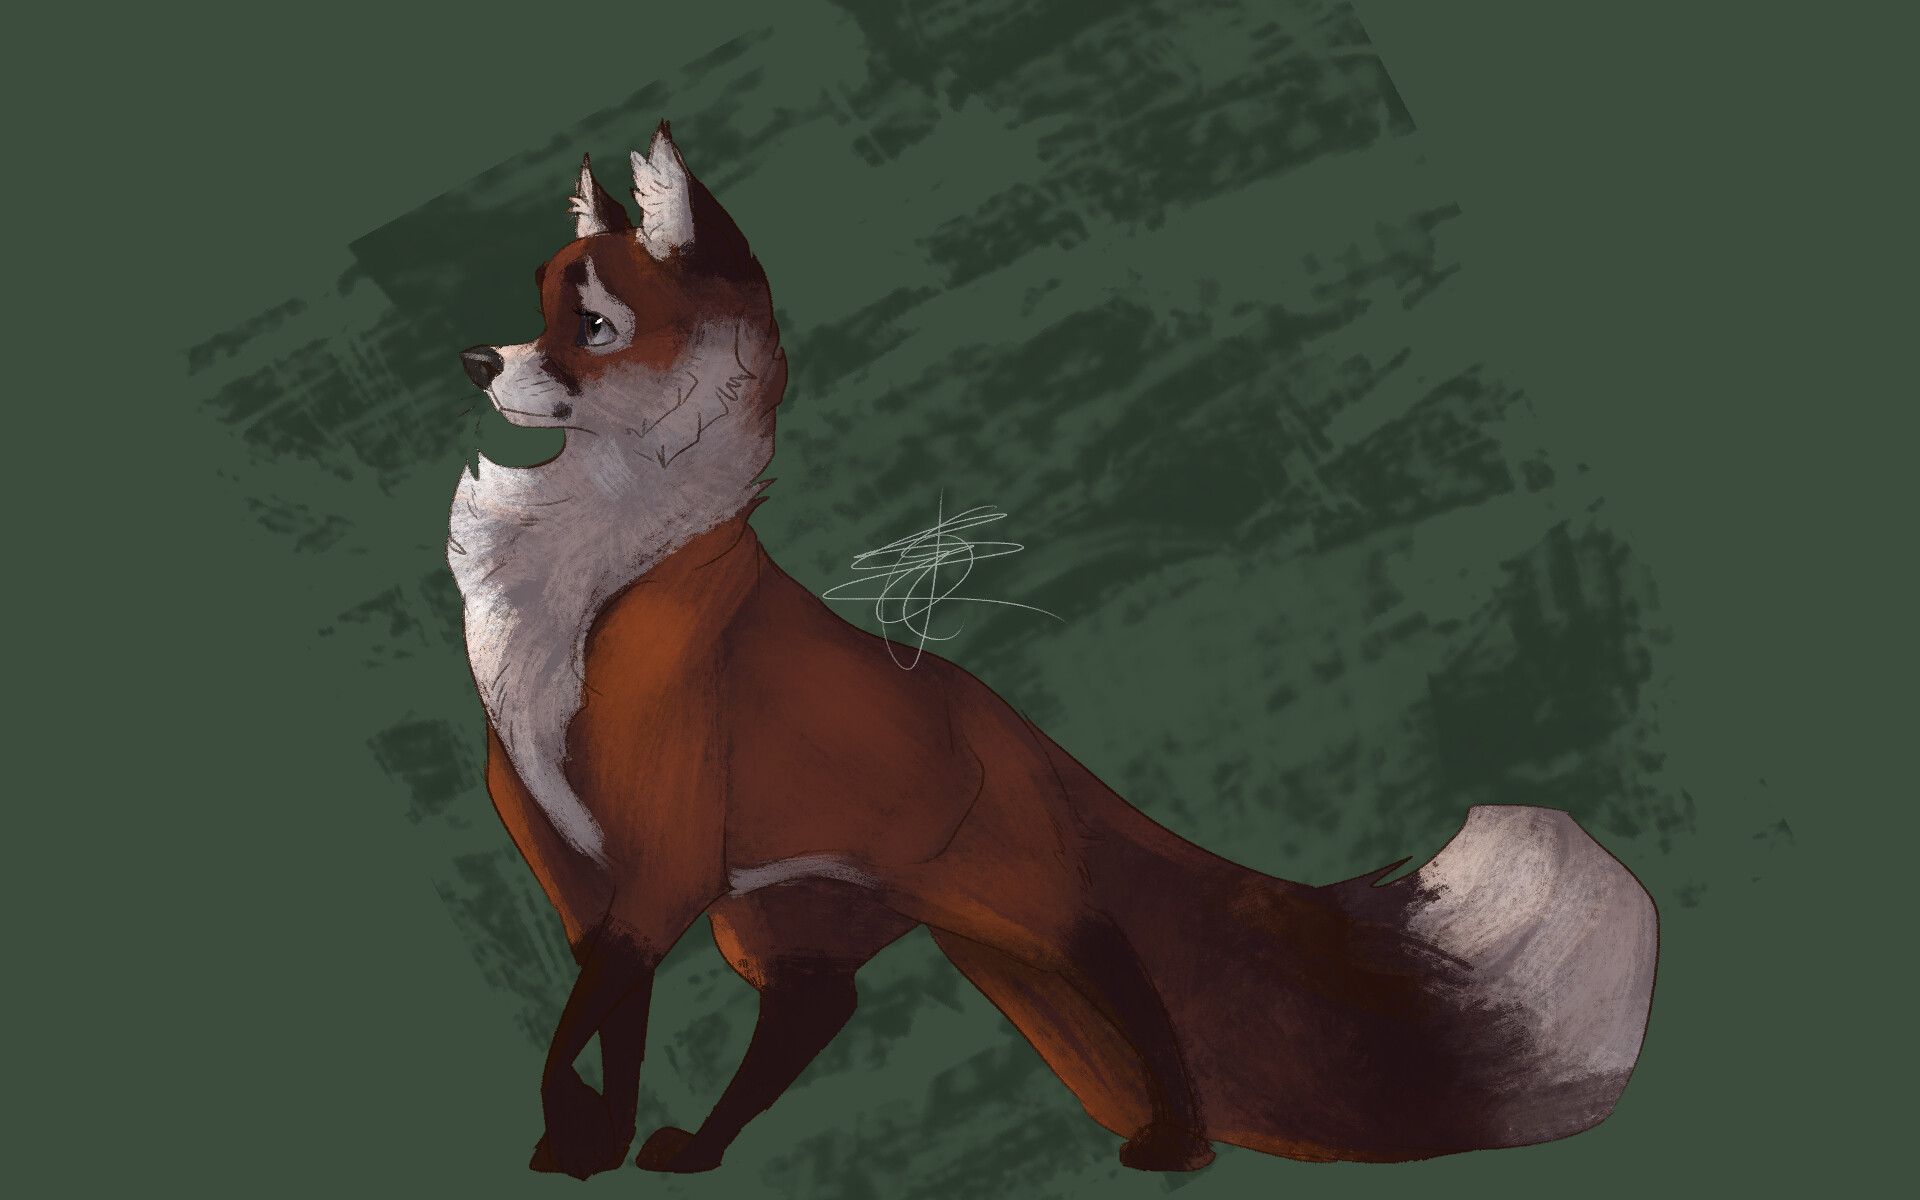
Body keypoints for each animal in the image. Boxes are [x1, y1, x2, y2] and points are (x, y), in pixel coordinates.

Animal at [446, 122, 1658, 1181]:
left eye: (592, 325)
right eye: (534, 306)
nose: (472, 359)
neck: (575, 588)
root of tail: (1003, 713)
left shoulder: (661, 867)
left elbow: (573, 1037)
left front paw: (570, 1142)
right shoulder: (590, 878)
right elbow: (613, 1037)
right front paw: (596, 1146)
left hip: (1008, 901)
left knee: (1115, 959)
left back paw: (1178, 1144)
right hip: (786, 918)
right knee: (819, 1010)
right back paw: (704, 1149)